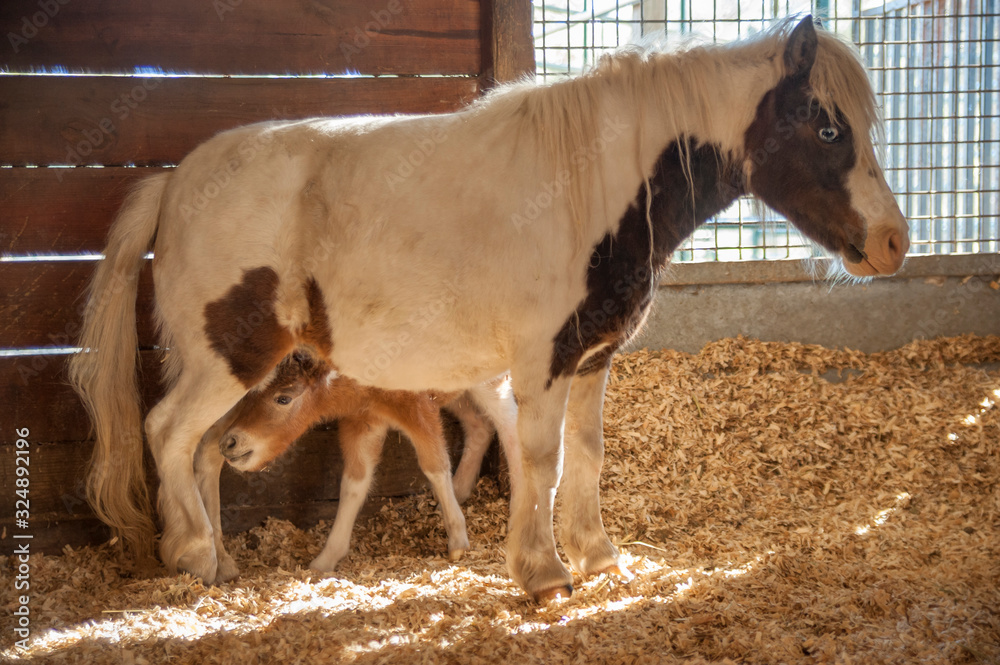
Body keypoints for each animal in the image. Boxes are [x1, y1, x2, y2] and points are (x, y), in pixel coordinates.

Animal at [196, 350, 518, 575]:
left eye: (284, 398)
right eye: (249, 394)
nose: (229, 442)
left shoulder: (418, 407)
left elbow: (435, 467)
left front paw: (458, 542)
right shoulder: (363, 421)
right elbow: (354, 483)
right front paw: (326, 558)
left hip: (490, 380)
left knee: (510, 427)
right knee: (479, 426)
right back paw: (461, 490)